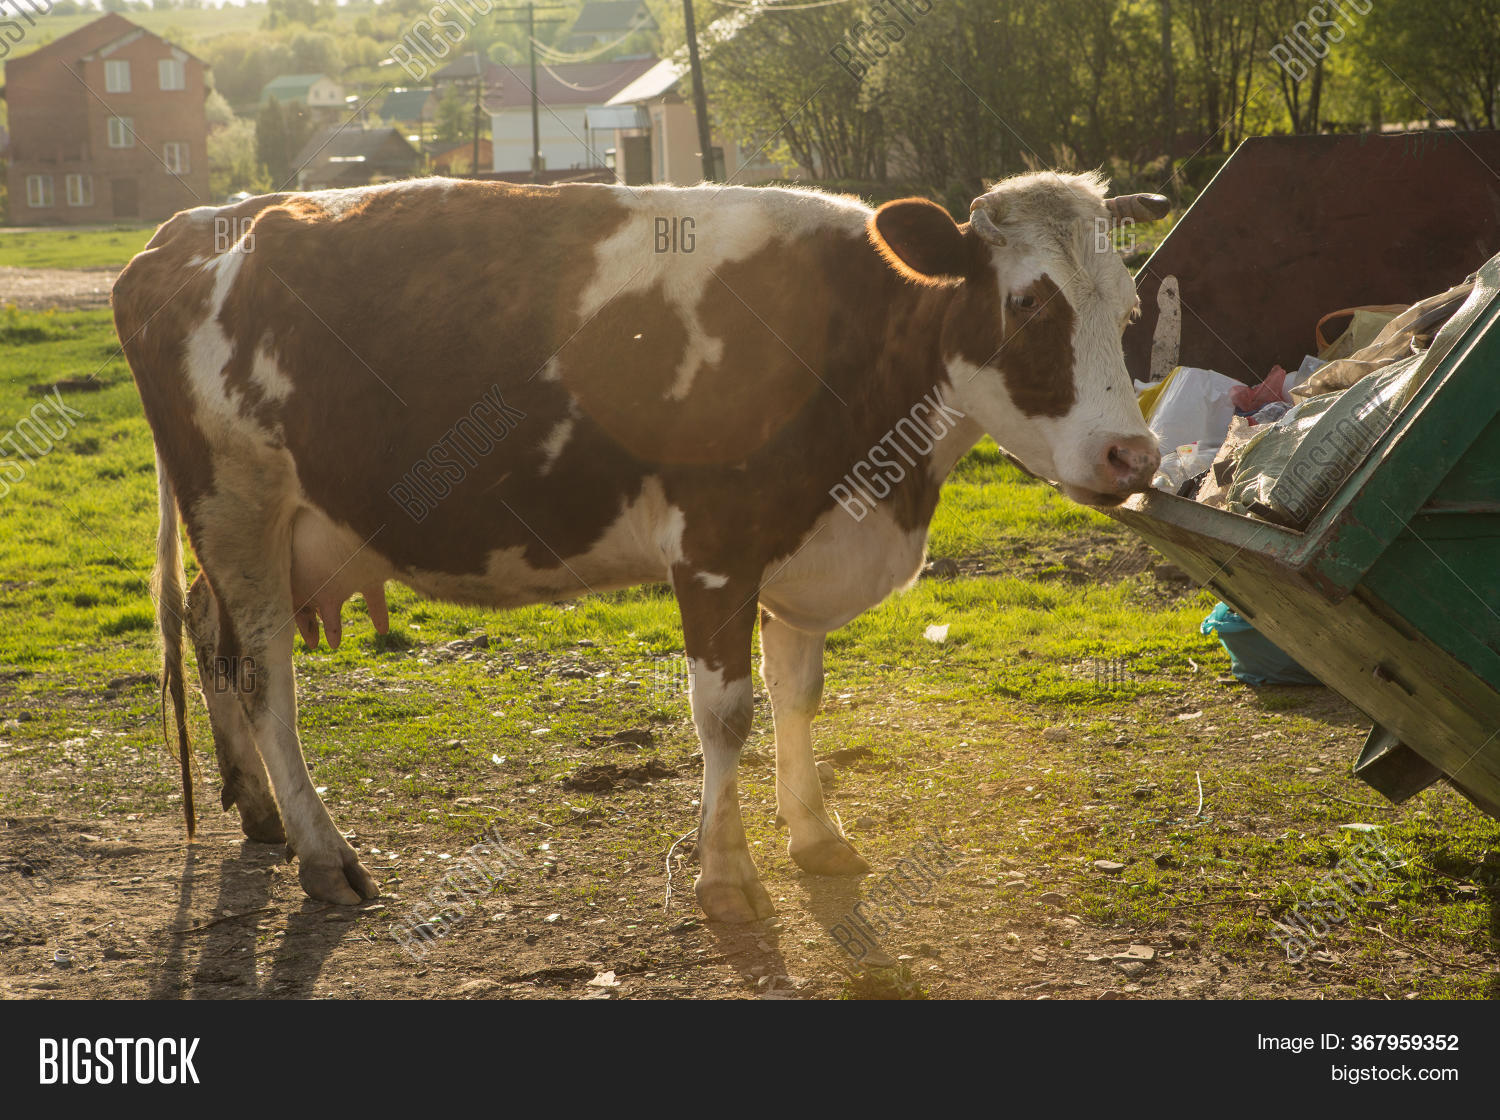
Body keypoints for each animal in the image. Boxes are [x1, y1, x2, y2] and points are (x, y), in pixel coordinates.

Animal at [112, 172, 1165, 923]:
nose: (1135, 454)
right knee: (263, 674)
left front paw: (816, 834)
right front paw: (728, 875)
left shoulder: (802, 550)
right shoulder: (714, 550)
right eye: (1029, 303)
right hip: (238, 499)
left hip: (260, 526)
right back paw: (325, 855)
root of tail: (189, 228)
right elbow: (725, 714)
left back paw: (259, 814)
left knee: (210, 635)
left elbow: (798, 695)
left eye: (1128, 308)